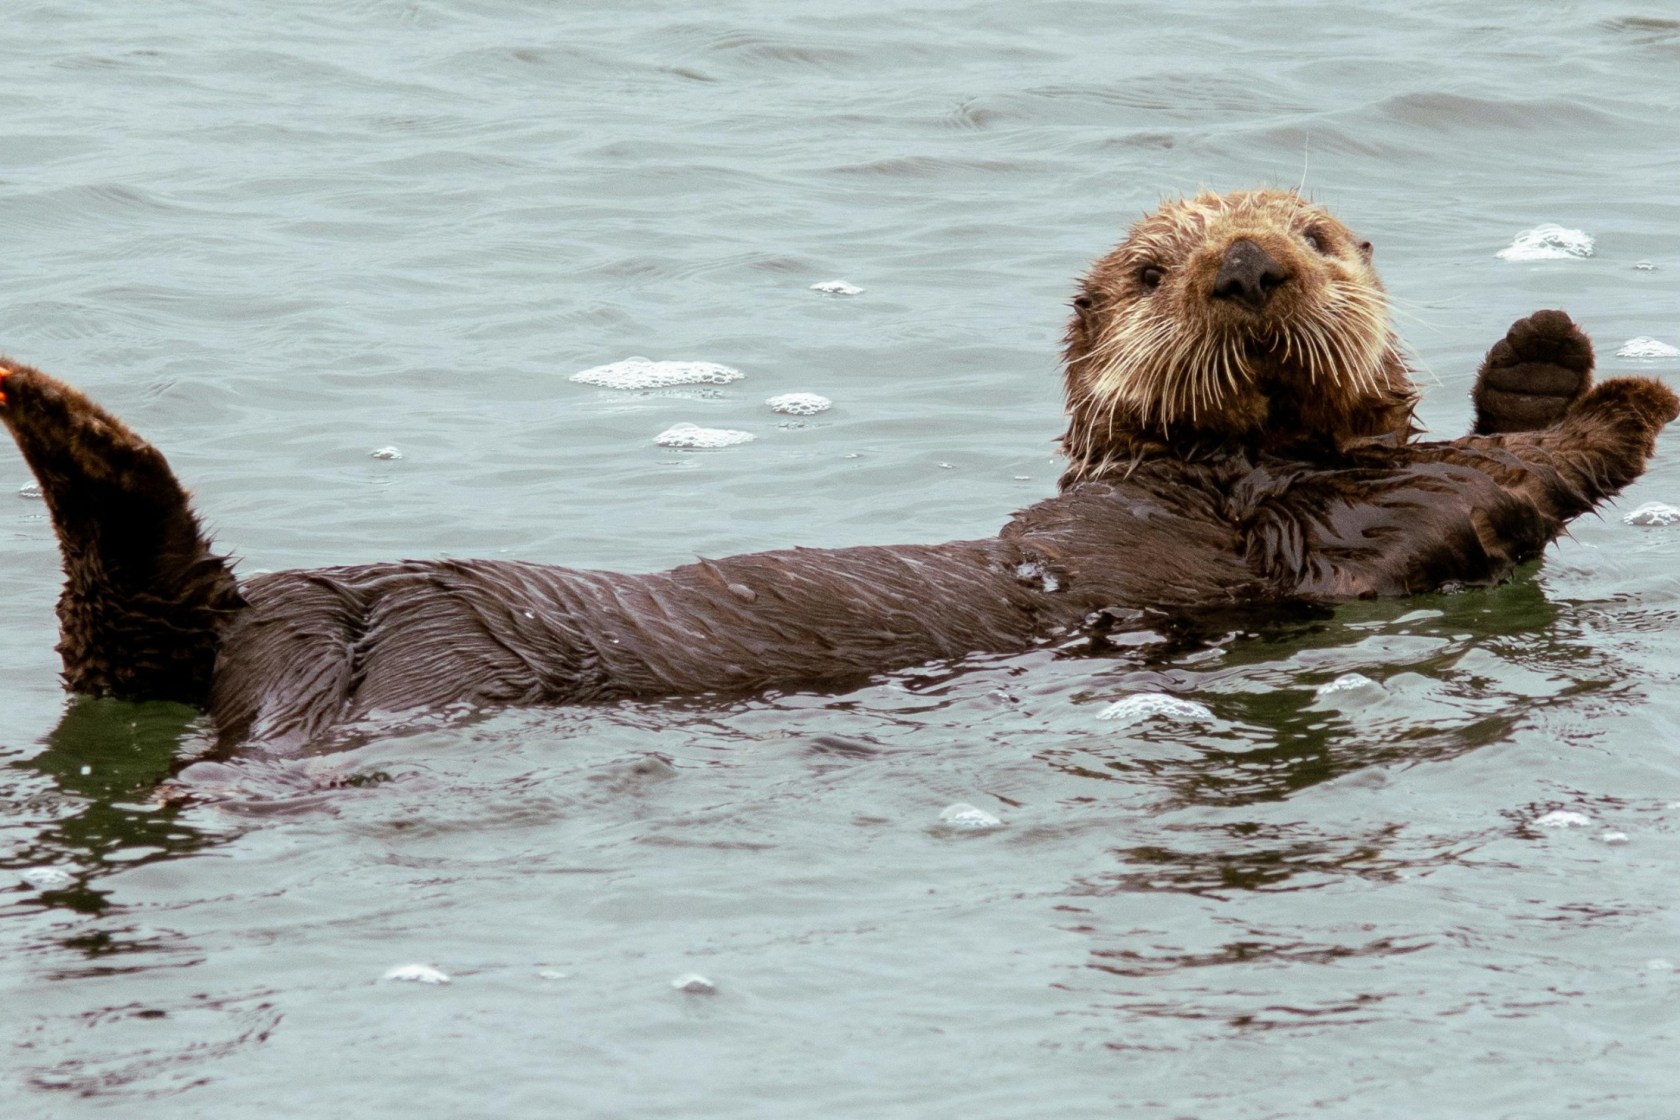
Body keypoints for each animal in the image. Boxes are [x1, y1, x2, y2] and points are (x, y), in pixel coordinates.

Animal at [2, 190, 1674, 751]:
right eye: (1154, 269)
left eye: (1317, 236)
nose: (1252, 264)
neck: (1238, 468)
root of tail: (249, 644)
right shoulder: (1320, 536)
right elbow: (1475, 488)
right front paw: (1625, 394)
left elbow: (1478, 465)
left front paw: (1545, 350)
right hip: (369, 647)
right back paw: (56, 412)